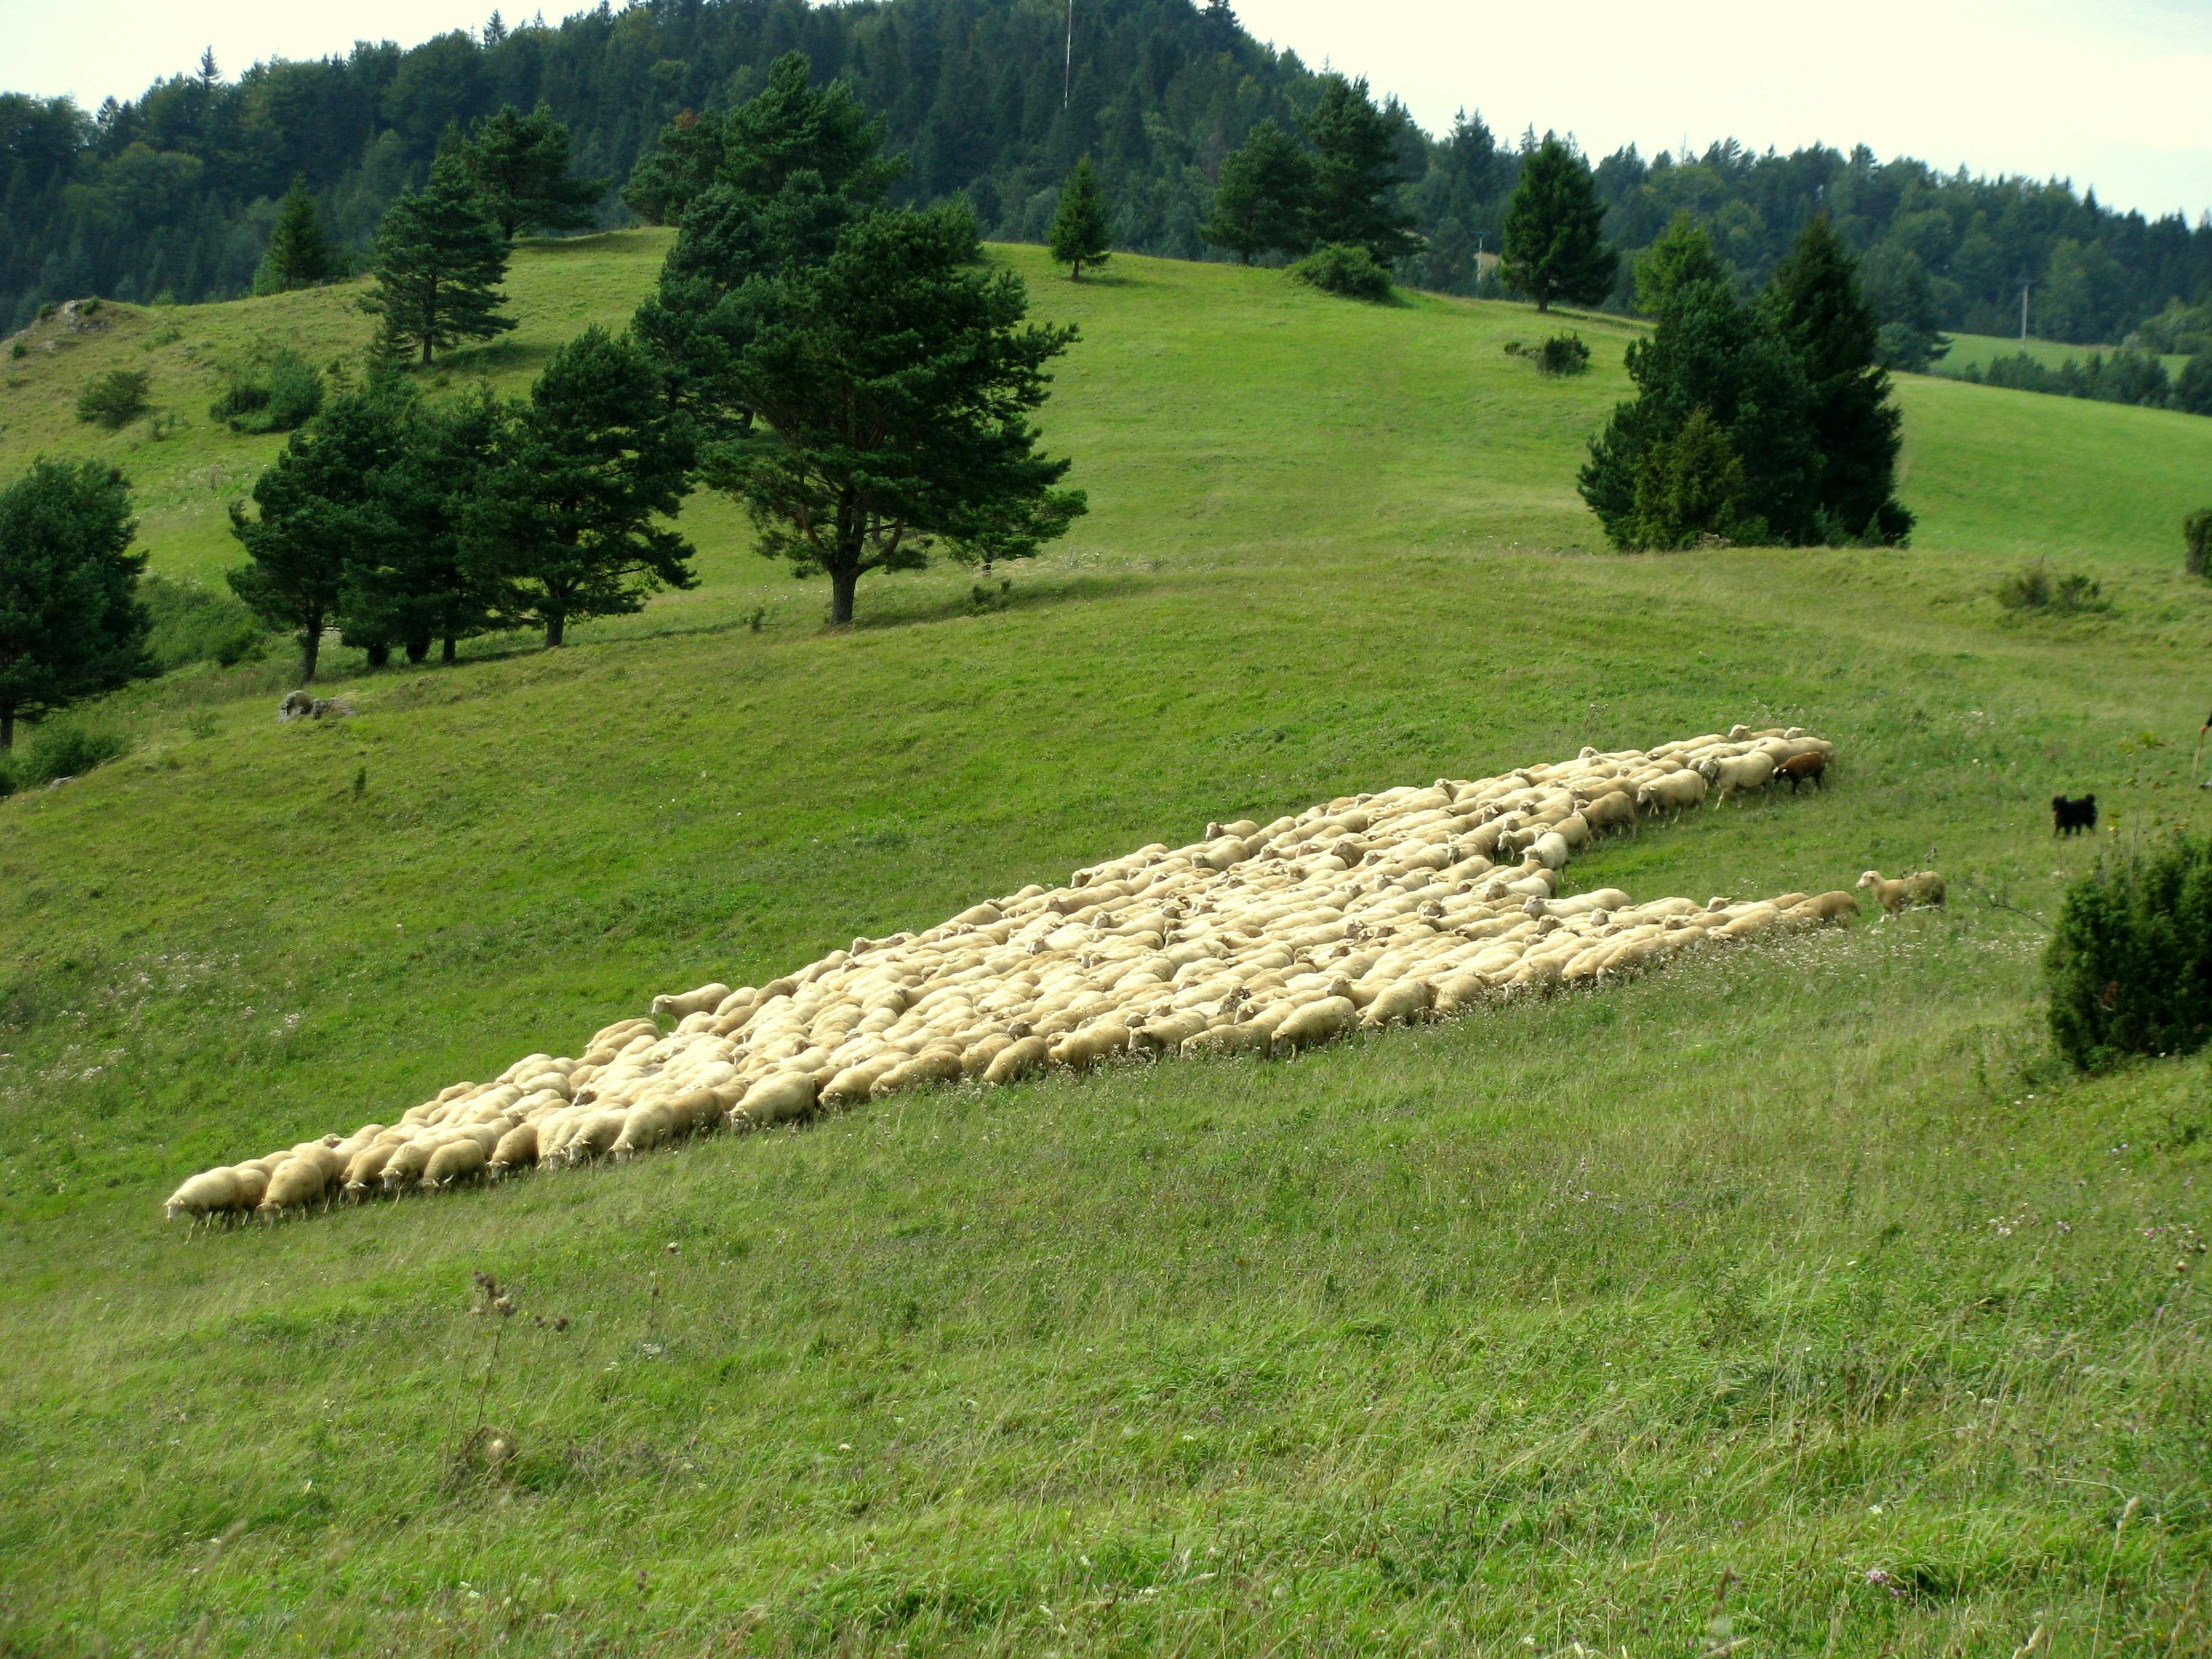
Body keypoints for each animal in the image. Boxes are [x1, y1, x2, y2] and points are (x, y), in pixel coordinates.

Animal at [1856, 869, 1946, 916]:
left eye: (1864, 877)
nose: (1857, 885)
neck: (1882, 887)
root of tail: (1938, 875)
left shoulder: (1895, 908)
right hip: (1936, 899)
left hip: (1936, 897)